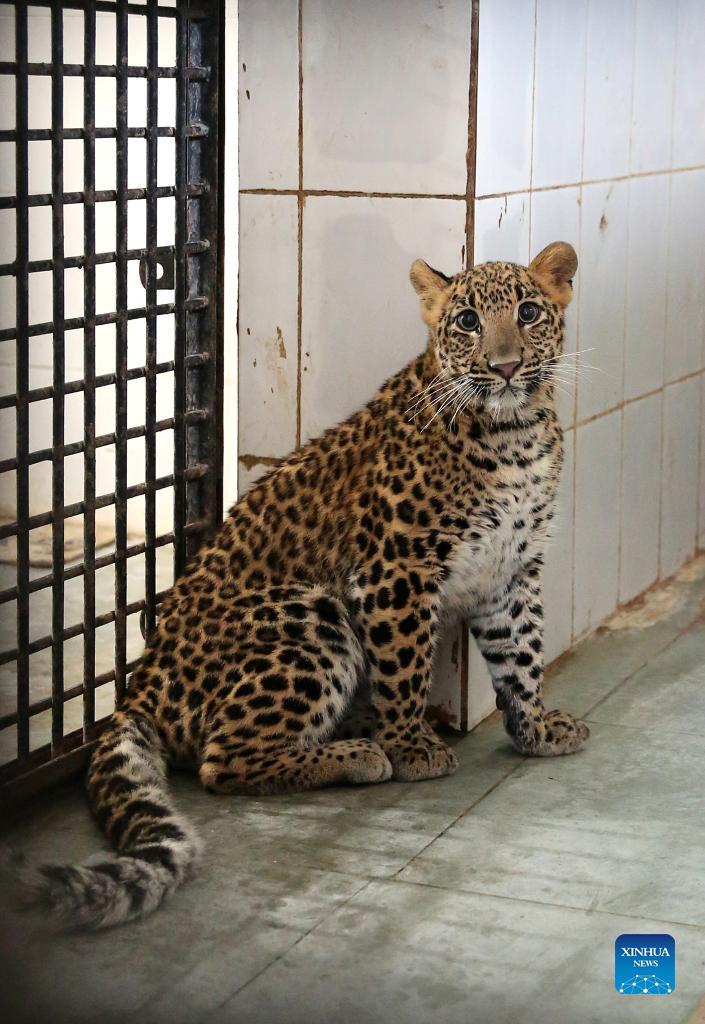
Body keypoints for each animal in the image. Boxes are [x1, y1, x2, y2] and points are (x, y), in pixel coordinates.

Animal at [27, 240, 589, 929]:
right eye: (467, 323)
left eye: (529, 312)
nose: (505, 366)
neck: (515, 435)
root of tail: (138, 691)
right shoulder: (396, 570)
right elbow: (407, 669)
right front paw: (413, 748)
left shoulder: (510, 572)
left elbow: (523, 655)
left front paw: (536, 728)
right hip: (310, 617)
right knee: (223, 761)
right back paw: (361, 754)